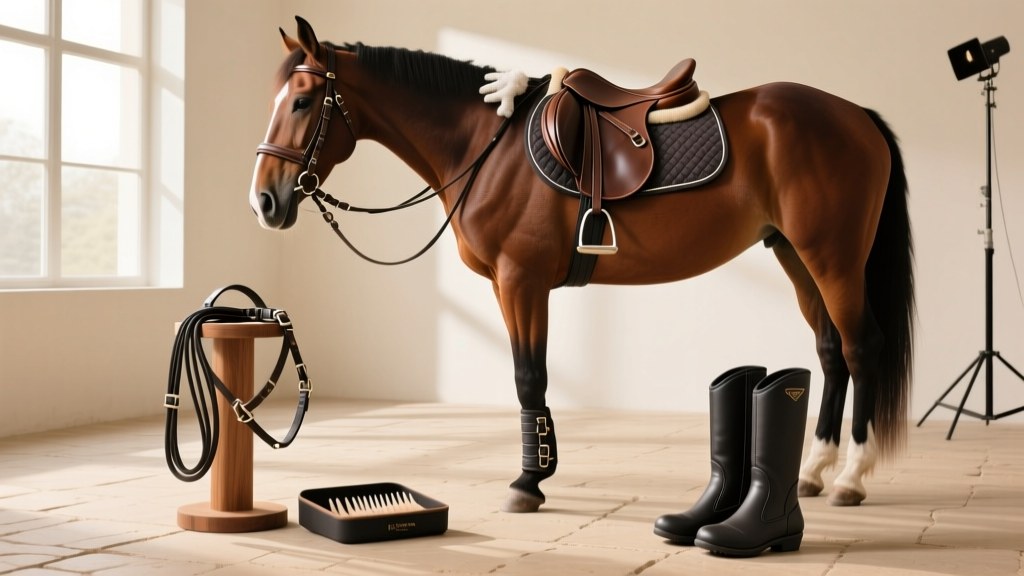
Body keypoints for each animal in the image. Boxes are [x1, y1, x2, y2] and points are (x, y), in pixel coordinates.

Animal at [249, 17, 914, 513]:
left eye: (303, 101)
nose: (264, 202)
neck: (484, 147)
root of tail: (856, 114)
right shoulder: (511, 286)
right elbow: (530, 378)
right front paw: (535, 475)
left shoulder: (520, 281)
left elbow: (529, 378)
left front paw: (528, 483)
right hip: (795, 256)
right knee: (830, 351)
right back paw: (814, 471)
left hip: (833, 257)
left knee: (861, 347)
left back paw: (850, 478)